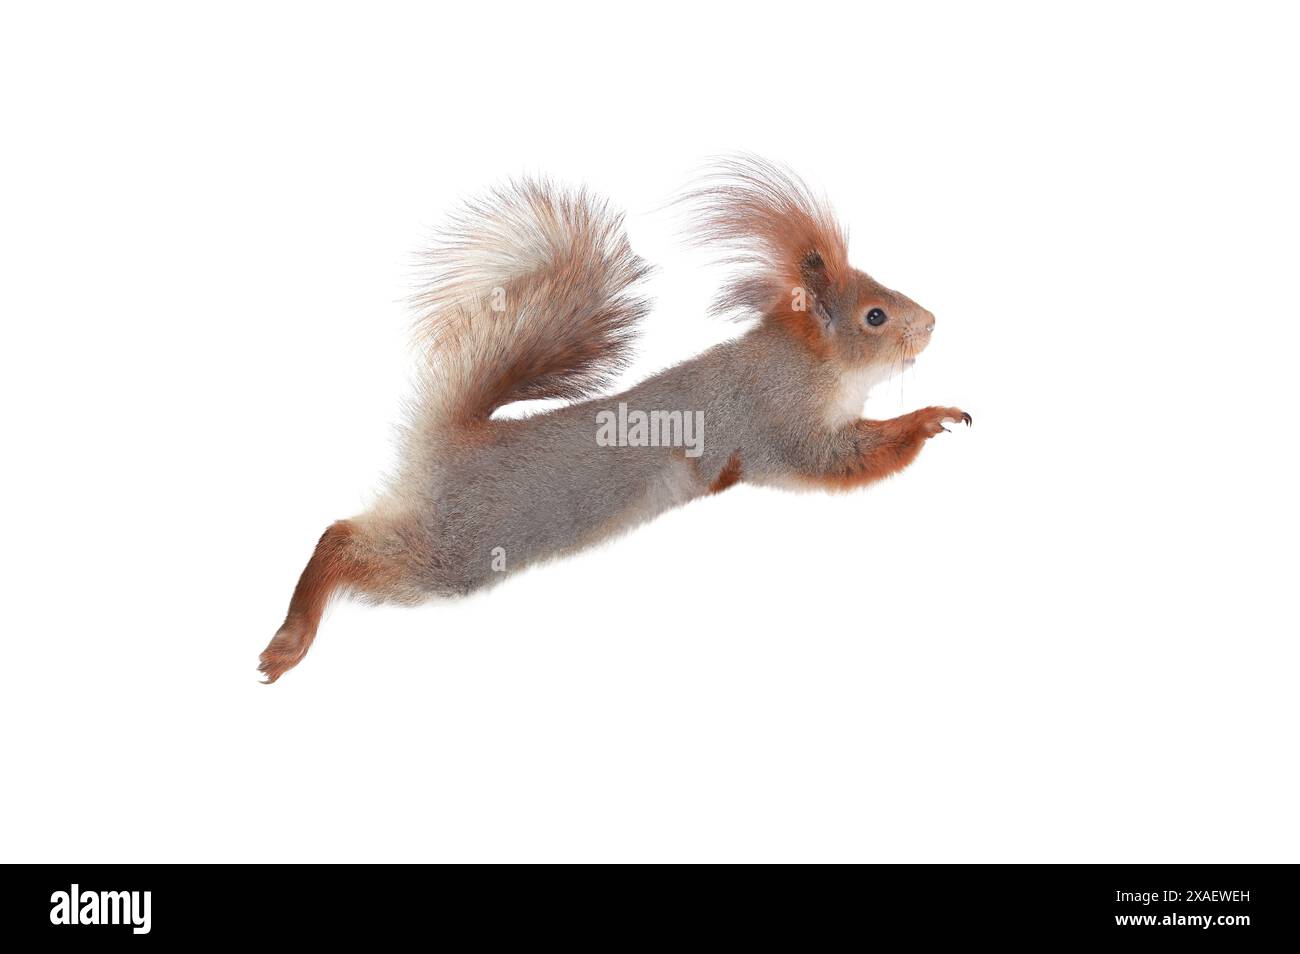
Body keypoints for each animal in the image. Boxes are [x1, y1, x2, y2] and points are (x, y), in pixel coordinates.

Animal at [259, 157, 971, 682]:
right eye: (875, 316)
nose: (933, 322)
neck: (812, 364)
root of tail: (451, 446)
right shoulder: (775, 424)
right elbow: (842, 457)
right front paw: (928, 417)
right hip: (464, 545)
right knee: (340, 541)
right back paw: (291, 638)